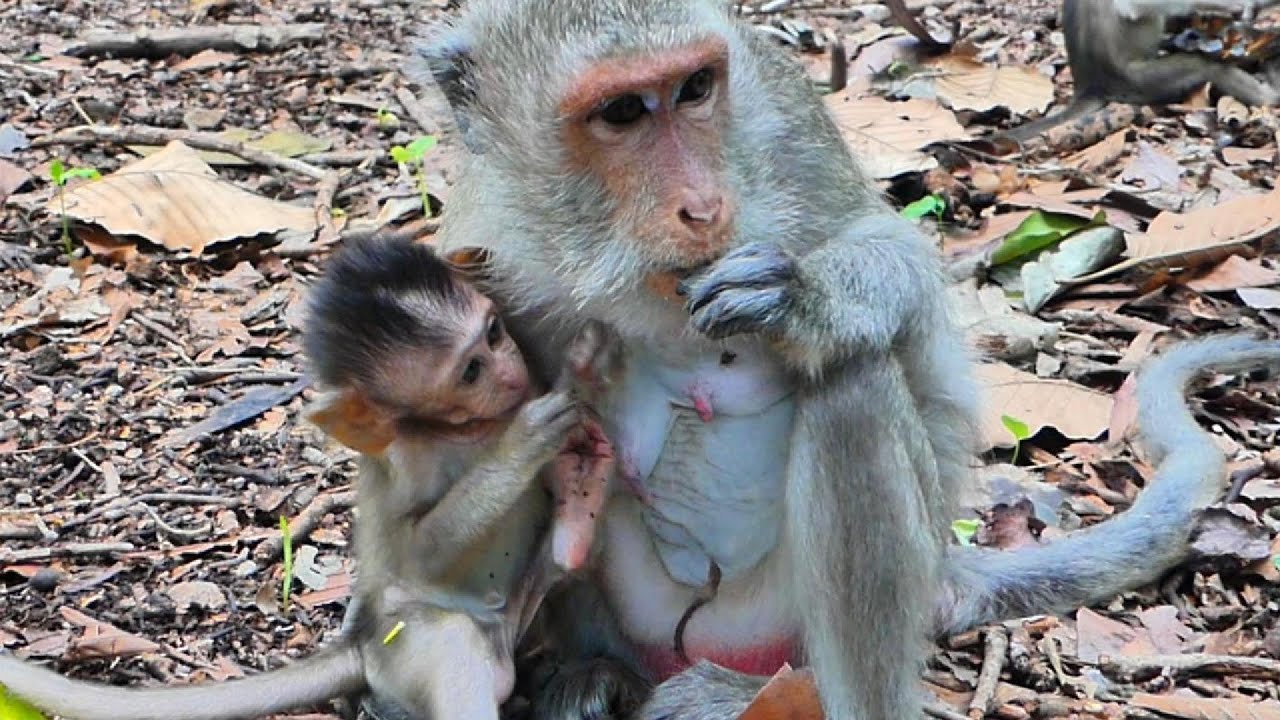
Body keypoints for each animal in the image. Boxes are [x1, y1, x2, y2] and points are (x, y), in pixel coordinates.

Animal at [0, 235, 616, 720]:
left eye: (493, 332)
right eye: (470, 371)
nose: (510, 372)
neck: (459, 430)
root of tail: (361, 645)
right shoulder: (408, 462)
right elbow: (418, 554)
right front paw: (524, 437)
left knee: (564, 563)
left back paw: (579, 501)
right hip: (405, 649)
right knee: (451, 644)